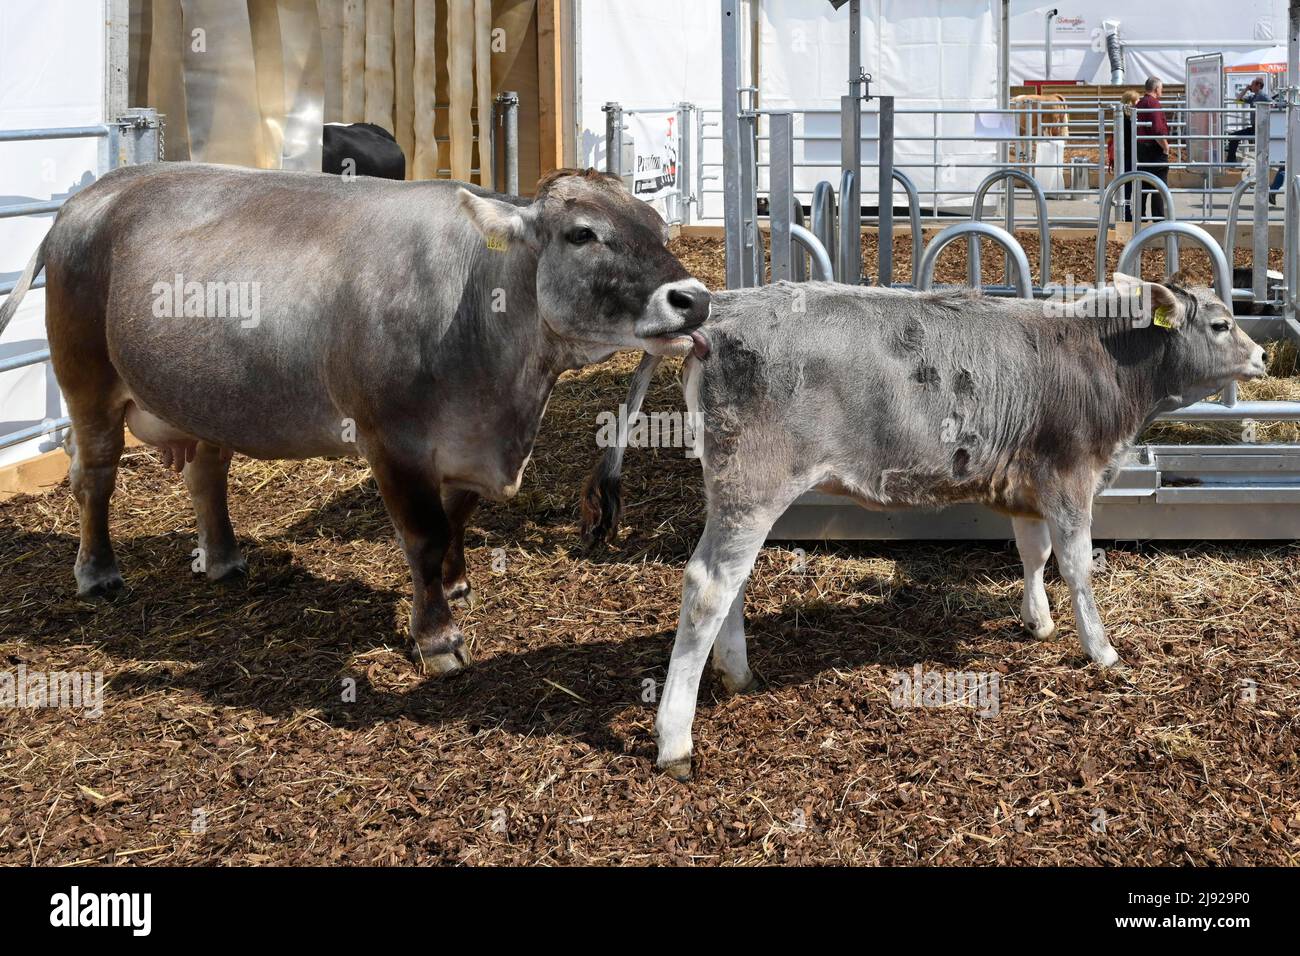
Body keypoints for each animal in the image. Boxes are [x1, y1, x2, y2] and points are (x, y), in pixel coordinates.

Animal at [0, 163, 710, 675]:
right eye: (582, 232)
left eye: (658, 226)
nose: (695, 299)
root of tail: (93, 195)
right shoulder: (392, 440)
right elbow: (424, 534)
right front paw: (439, 638)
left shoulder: (465, 444)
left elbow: (456, 518)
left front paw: (456, 584)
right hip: (85, 377)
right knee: (95, 476)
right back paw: (98, 573)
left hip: (211, 399)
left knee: (206, 476)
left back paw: (224, 559)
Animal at [582, 275, 1266, 779]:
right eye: (1220, 323)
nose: (1261, 354)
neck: (1096, 357)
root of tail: (724, 310)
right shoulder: (1070, 476)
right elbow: (1076, 565)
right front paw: (1101, 650)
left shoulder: (1029, 486)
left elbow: (1033, 552)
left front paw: (1037, 622)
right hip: (756, 480)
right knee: (706, 588)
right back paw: (675, 739)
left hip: (735, 491)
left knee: (733, 583)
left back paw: (737, 673)